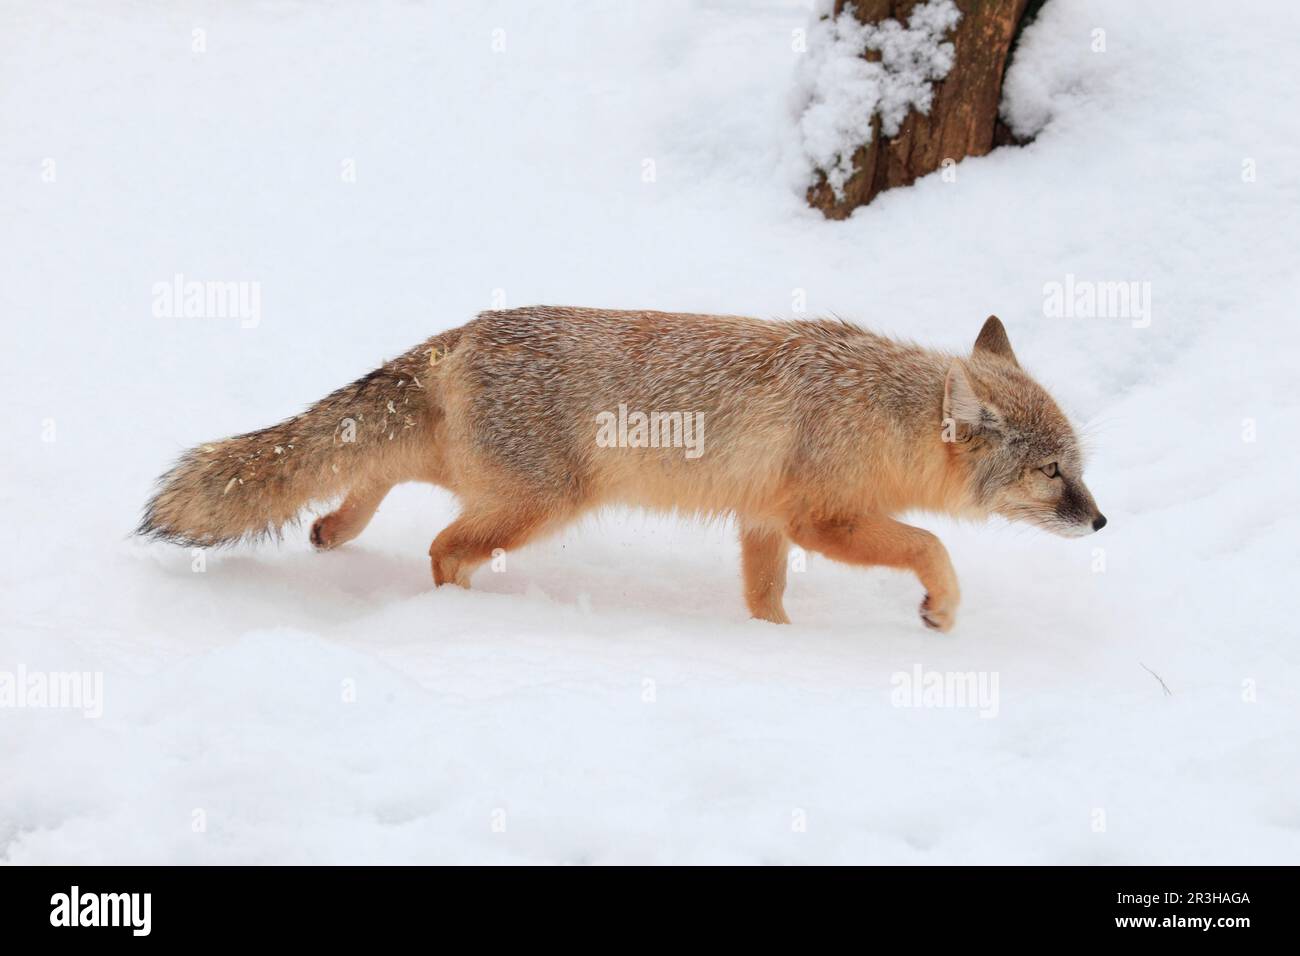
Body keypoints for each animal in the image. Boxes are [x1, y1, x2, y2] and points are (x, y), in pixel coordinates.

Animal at [138, 307, 1105, 630]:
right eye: (1053, 472)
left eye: (1077, 467)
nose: (1100, 522)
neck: (881, 409)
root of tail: (463, 332)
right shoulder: (819, 521)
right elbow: (934, 549)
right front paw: (941, 609)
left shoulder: (764, 524)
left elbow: (765, 601)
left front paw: (777, 650)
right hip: (538, 507)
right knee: (443, 550)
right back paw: (464, 619)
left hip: (483, 483)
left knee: (375, 481)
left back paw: (334, 530)